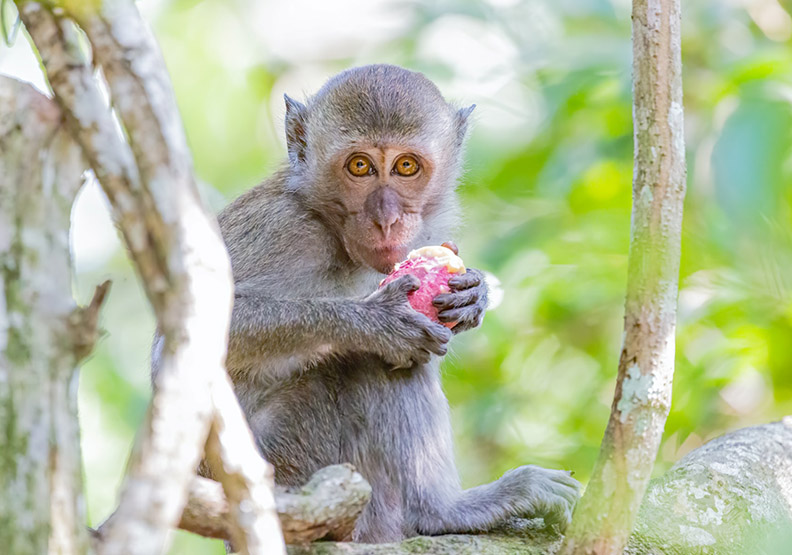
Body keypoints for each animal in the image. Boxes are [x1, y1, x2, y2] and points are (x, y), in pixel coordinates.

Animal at [155, 64, 580, 543]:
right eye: (360, 166)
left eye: (406, 166)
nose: (386, 218)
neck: (330, 228)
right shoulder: (282, 230)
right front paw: (378, 323)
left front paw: (474, 294)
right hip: (297, 464)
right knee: (373, 364)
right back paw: (442, 512)